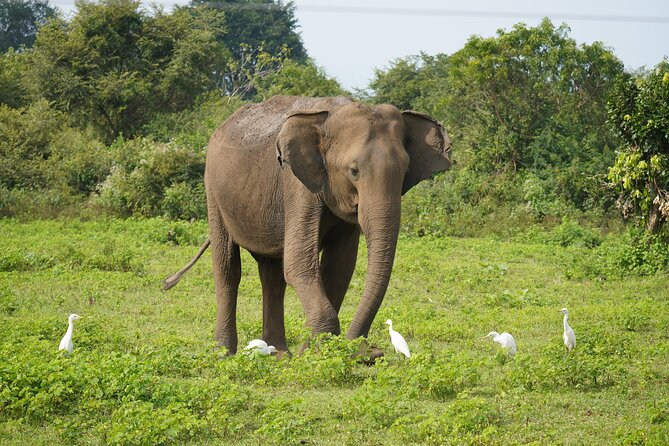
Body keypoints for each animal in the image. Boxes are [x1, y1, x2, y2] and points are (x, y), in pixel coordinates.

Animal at [163, 96, 451, 355]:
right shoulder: (296, 184)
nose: (370, 353)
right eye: (354, 171)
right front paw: (315, 352)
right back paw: (223, 353)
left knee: (272, 274)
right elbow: (299, 263)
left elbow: (340, 267)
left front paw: (314, 350)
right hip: (212, 188)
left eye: (405, 172)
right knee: (227, 268)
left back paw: (279, 353)